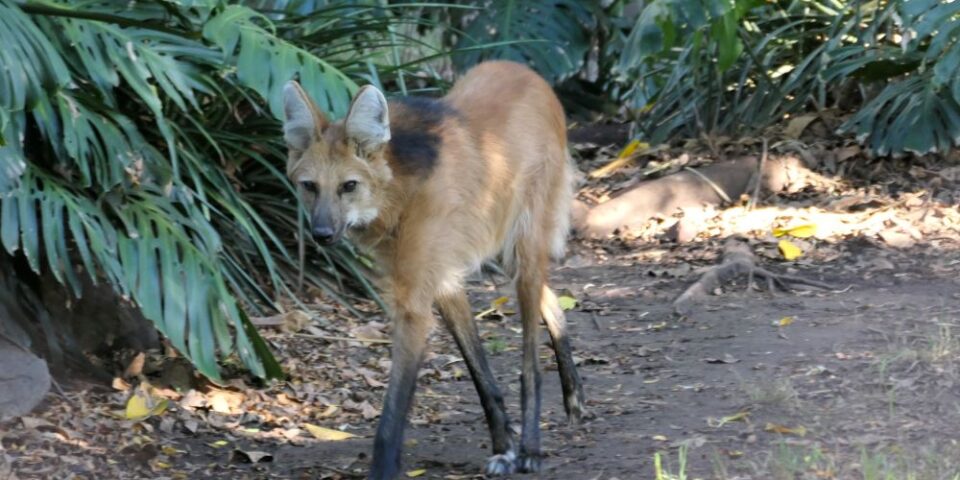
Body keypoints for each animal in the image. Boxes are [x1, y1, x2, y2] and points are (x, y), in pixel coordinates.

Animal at [282, 61, 584, 479]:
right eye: (310, 186)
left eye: (348, 186)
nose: (322, 233)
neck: (398, 195)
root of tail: (528, 73)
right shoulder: (442, 279)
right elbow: (481, 375)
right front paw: (502, 447)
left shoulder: (414, 300)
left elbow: (394, 411)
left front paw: (383, 469)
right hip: (499, 250)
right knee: (551, 300)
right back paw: (572, 396)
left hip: (522, 244)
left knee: (530, 360)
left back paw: (532, 448)